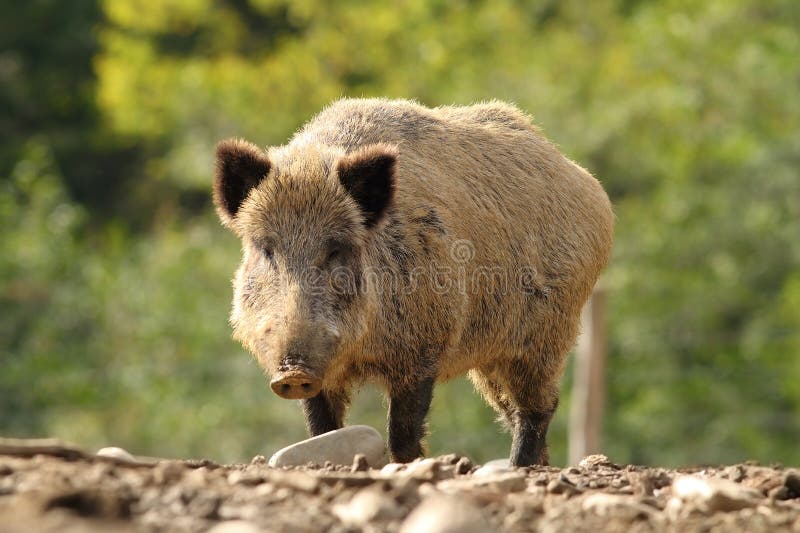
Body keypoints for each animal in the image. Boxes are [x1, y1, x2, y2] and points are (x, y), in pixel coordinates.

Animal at [213, 98, 613, 466]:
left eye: (336, 249)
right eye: (266, 249)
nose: (293, 372)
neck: (364, 350)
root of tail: (593, 190)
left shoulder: (424, 346)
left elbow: (403, 432)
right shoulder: (326, 375)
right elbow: (323, 429)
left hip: (547, 334)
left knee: (539, 407)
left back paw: (521, 466)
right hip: (492, 355)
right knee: (512, 410)